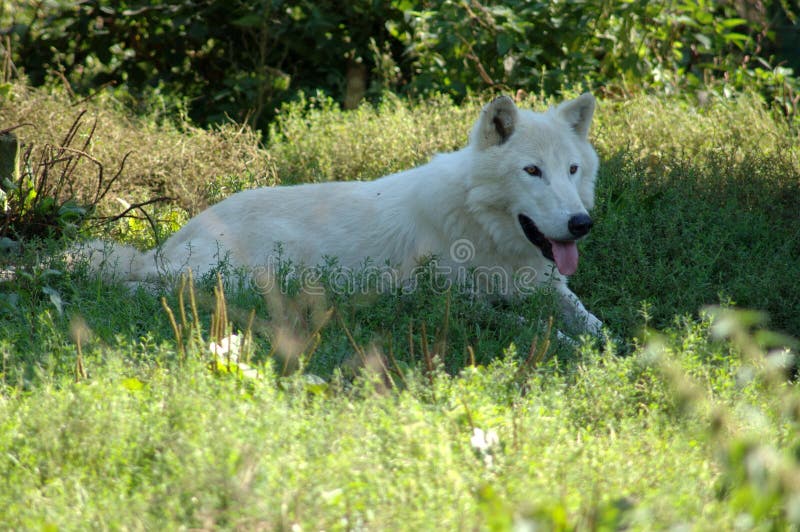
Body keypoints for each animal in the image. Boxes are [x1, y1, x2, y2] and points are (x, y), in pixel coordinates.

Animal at [82, 94, 603, 334]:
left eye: (571, 169)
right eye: (532, 171)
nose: (581, 225)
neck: (482, 231)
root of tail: (169, 242)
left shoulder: (551, 286)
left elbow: (591, 321)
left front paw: (610, 348)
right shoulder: (458, 304)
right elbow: (537, 327)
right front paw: (569, 345)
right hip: (244, 275)